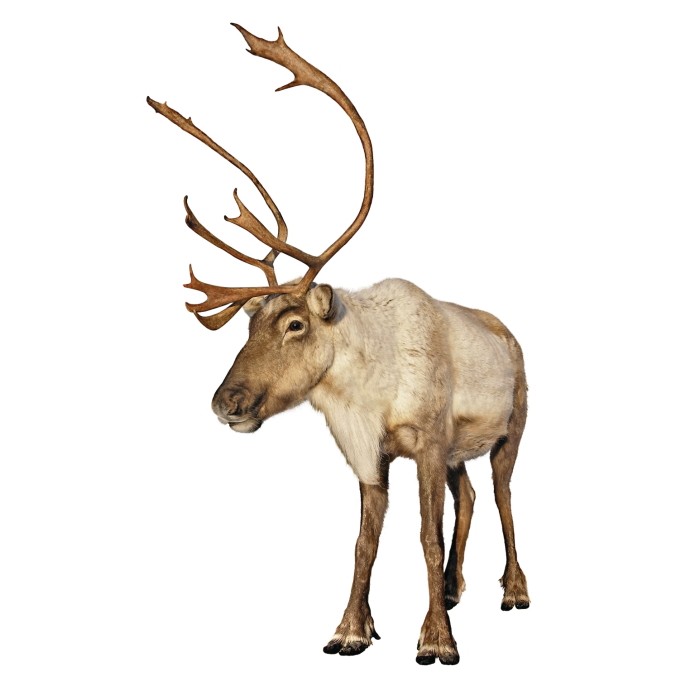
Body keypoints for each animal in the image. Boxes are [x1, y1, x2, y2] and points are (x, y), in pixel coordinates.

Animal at [147, 24, 530, 666]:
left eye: (295, 325)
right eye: (249, 324)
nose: (226, 402)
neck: (365, 390)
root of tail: (510, 333)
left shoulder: (428, 442)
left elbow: (424, 536)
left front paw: (436, 642)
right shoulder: (371, 453)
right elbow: (363, 542)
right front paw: (352, 629)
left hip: (512, 429)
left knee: (501, 496)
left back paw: (514, 591)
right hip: (461, 450)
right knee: (471, 496)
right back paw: (453, 590)